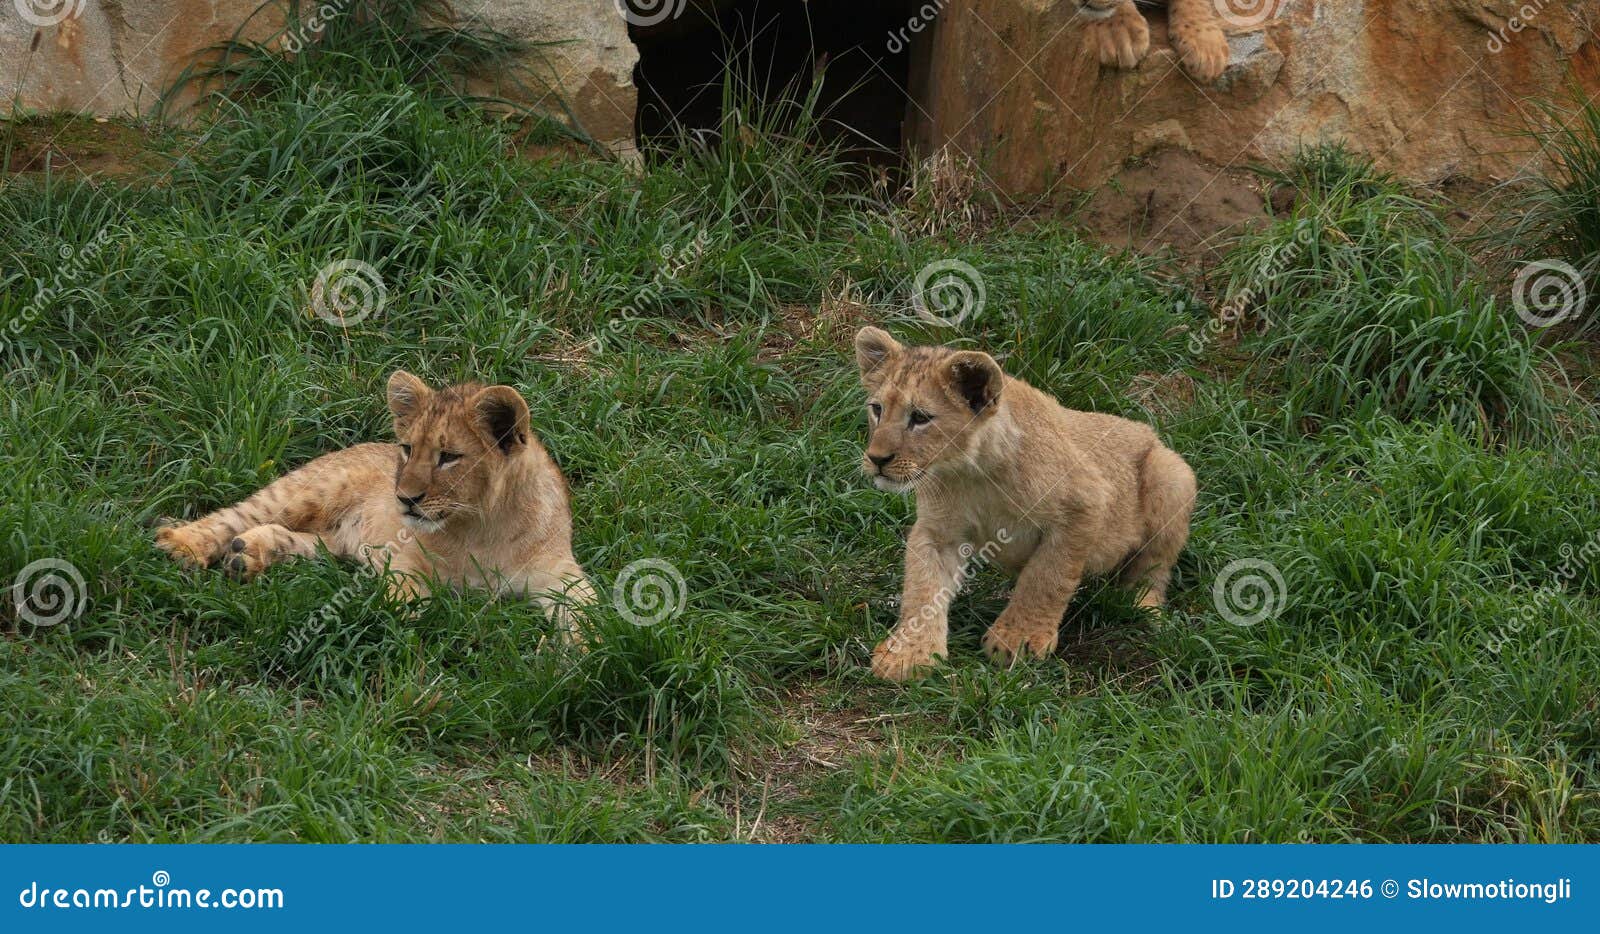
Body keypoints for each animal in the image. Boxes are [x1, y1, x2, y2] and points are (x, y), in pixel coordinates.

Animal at [155, 371, 594, 637]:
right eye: (408, 449)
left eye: (449, 457)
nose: (404, 498)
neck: (482, 526)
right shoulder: (401, 553)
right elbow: (414, 600)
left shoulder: (560, 572)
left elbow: (589, 610)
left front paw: (581, 655)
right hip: (308, 491)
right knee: (235, 515)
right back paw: (183, 545)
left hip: (333, 542)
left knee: (295, 539)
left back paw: (247, 554)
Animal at [853, 327, 1196, 681]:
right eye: (877, 409)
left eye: (920, 417)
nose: (876, 459)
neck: (973, 472)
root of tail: (1150, 431)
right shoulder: (938, 532)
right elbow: (923, 587)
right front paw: (907, 654)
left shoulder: (1086, 503)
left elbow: (1047, 577)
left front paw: (1018, 639)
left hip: (1172, 476)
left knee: (1154, 566)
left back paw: (1140, 606)